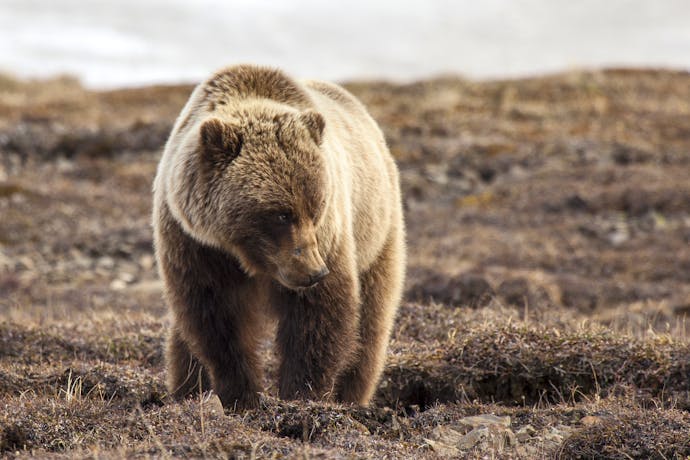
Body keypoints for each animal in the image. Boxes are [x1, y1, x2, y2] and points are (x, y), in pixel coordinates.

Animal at [152, 64, 405, 410]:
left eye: (316, 207)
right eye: (281, 214)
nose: (314, 271)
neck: (244, 254)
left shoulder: (330, 238)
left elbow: (319, 316)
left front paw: (302, 394)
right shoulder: (195, 245)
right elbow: (216, 319)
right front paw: (239, 395)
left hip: (377, 232)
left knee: (371, 323)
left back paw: (352, 397)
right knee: (184, 339)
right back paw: (186, 390)